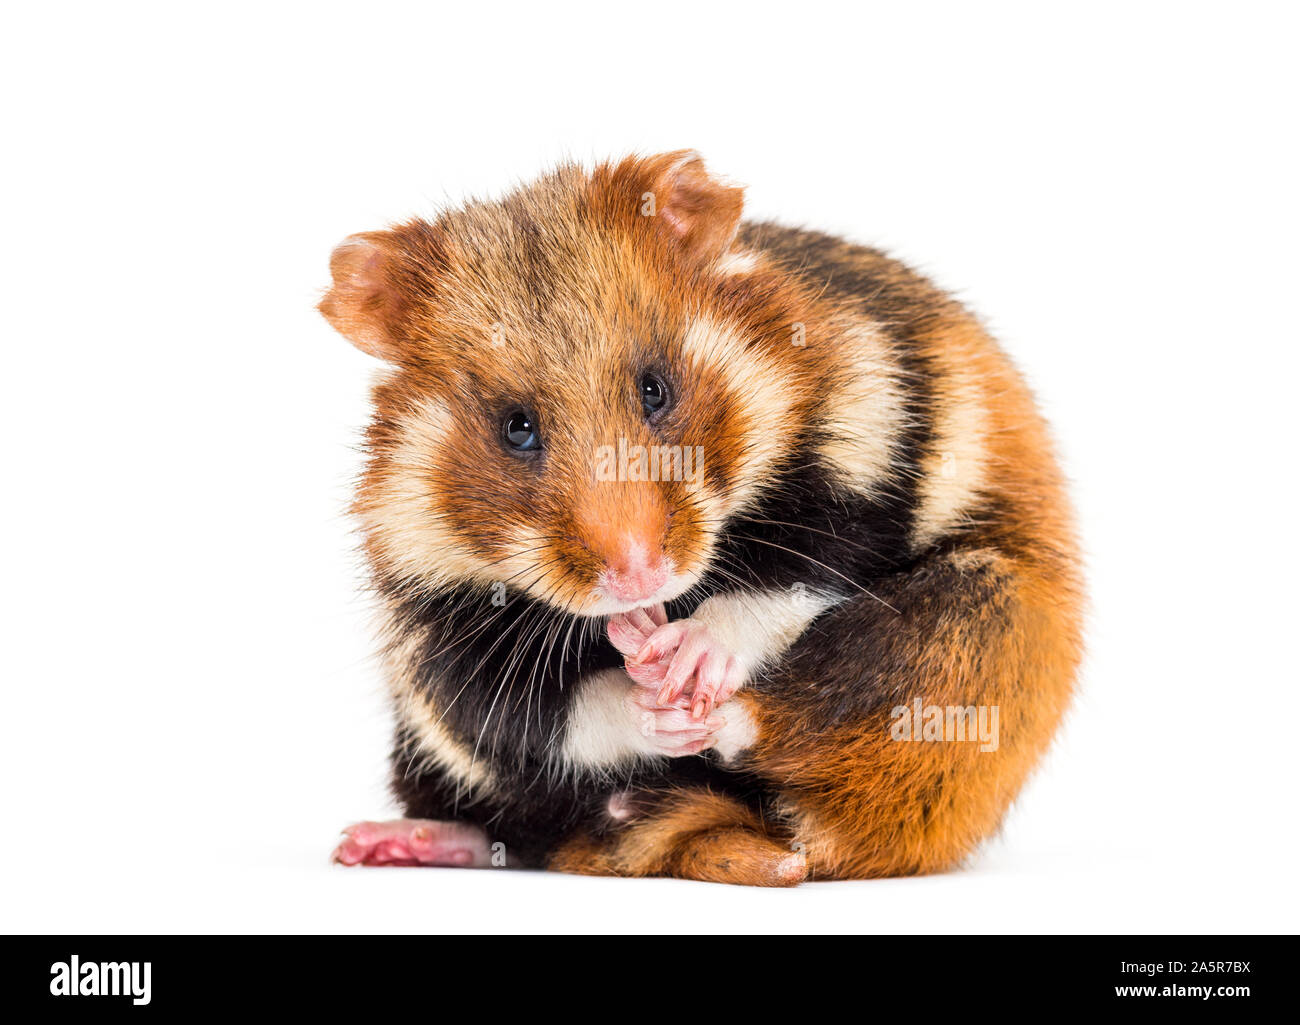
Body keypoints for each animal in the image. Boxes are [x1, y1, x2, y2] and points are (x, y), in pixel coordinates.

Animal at [320, 151, 1083, 885]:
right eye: (516, 428)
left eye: (655, 389)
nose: (639, 579)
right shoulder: (434, 631)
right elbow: (543, 715)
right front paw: (646, 675)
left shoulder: (868, 450)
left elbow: (783, 575)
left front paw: (683, 654)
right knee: (515, 826)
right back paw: (384, 842)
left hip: (973, 631)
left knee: (792, 725)